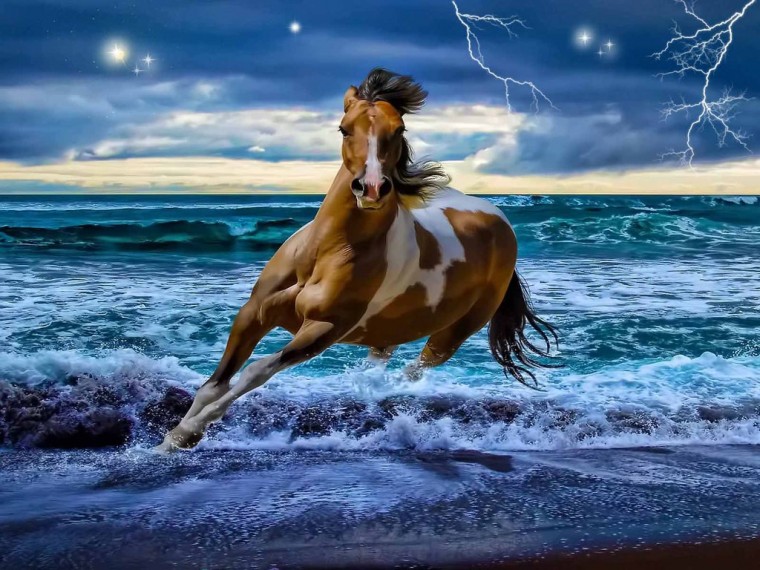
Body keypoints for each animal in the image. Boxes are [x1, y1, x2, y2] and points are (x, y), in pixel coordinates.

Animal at [158, 68, 558, 451]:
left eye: (399, 129)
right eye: (344, 128)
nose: (372, 188)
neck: (326, 252)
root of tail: (500, 221)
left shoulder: (323, 329)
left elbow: (256, 371)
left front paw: (184, 435)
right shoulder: (253, 313)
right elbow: (214, 384)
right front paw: (168, 441)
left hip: (453, 332)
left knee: (414, 369)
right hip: (391, 328)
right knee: (382, 357)